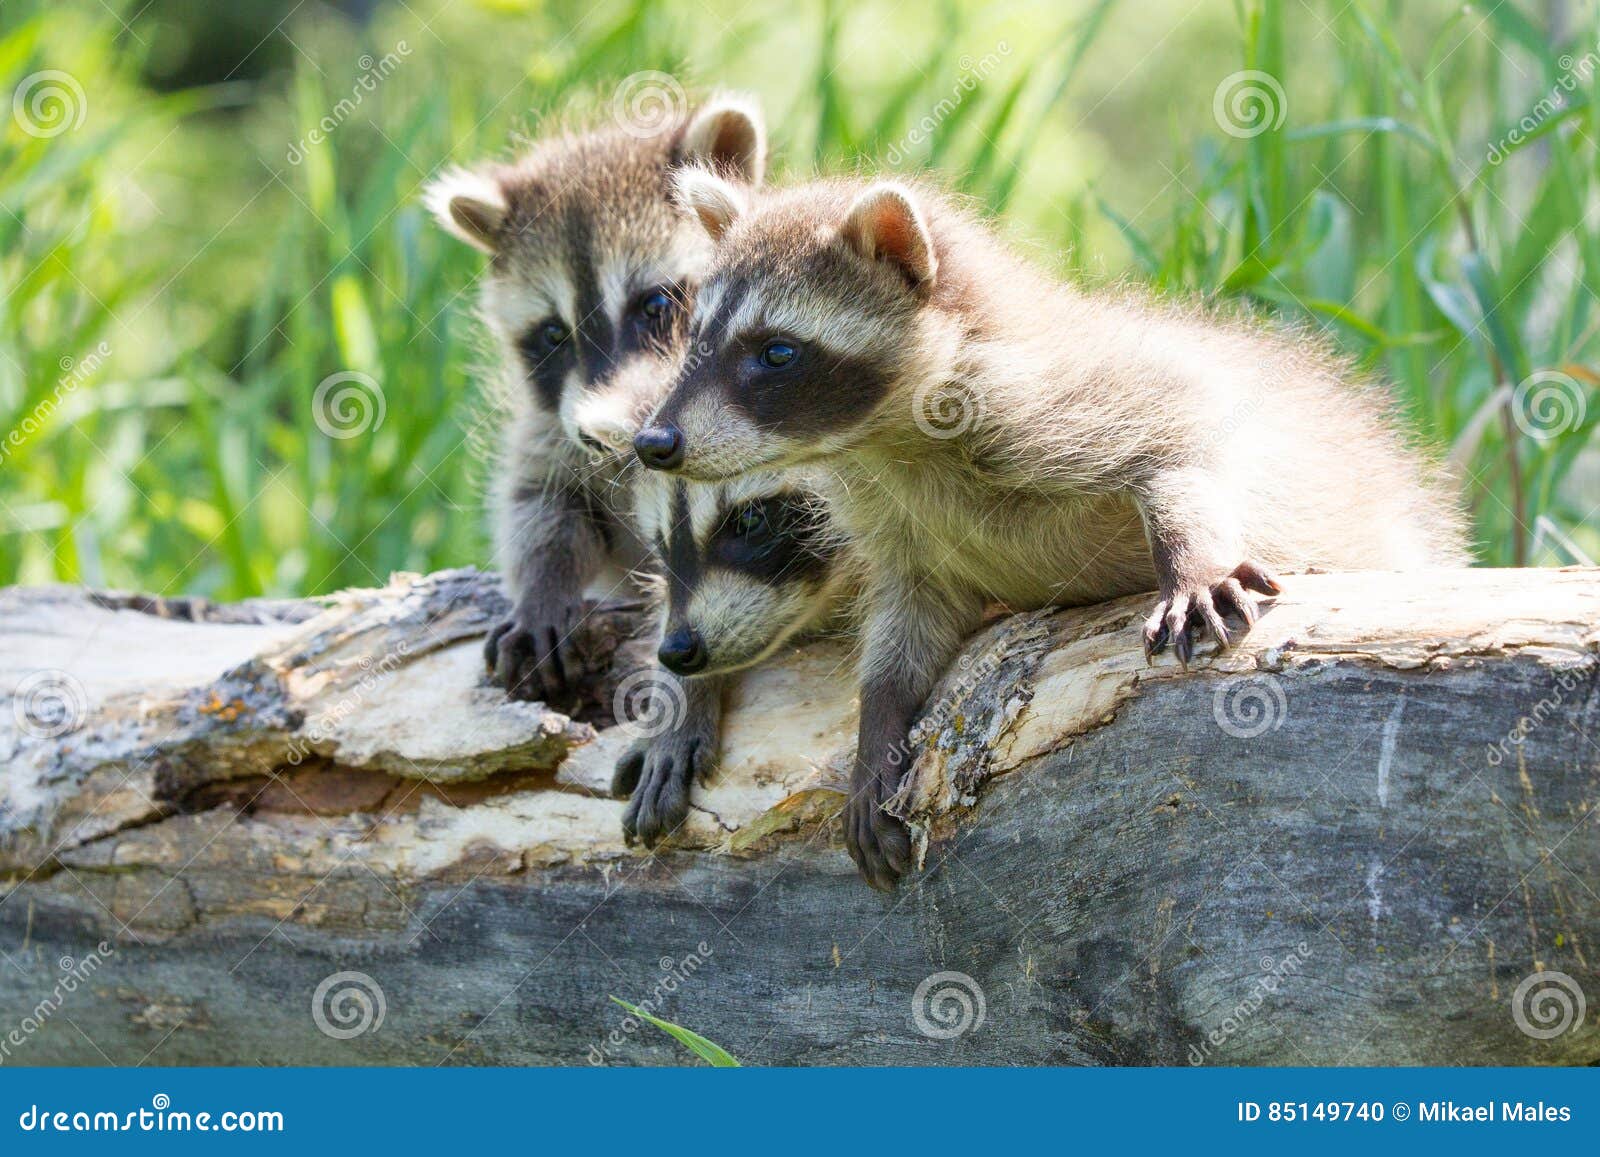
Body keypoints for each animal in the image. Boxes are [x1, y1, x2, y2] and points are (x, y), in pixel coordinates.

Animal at [424, 95, 766, 705]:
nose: (602, 436)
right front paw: (542, 588)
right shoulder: (549, 423)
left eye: (656, 304)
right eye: (553, 334)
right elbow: (542, 501)